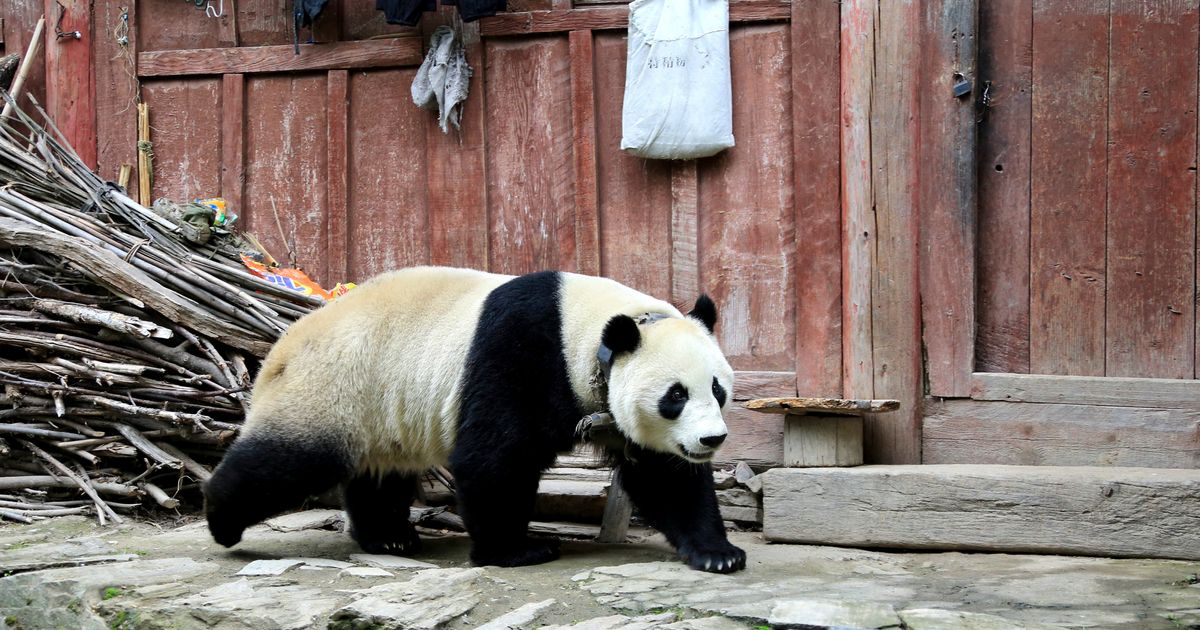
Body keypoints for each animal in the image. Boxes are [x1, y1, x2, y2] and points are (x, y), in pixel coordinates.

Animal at [204, 266, 746, 573]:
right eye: (676, 395)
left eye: (717, 389)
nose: (711, 439)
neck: (591, 332)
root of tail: (279, 348)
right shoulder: (520, 350)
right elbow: (495, 457)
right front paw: (517, 551)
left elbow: (664, 474)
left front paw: (717, 553)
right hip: (332, 387)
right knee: (288, 460)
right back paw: (222, 520)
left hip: (380, 410)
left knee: (380, 473)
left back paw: (389, 536)